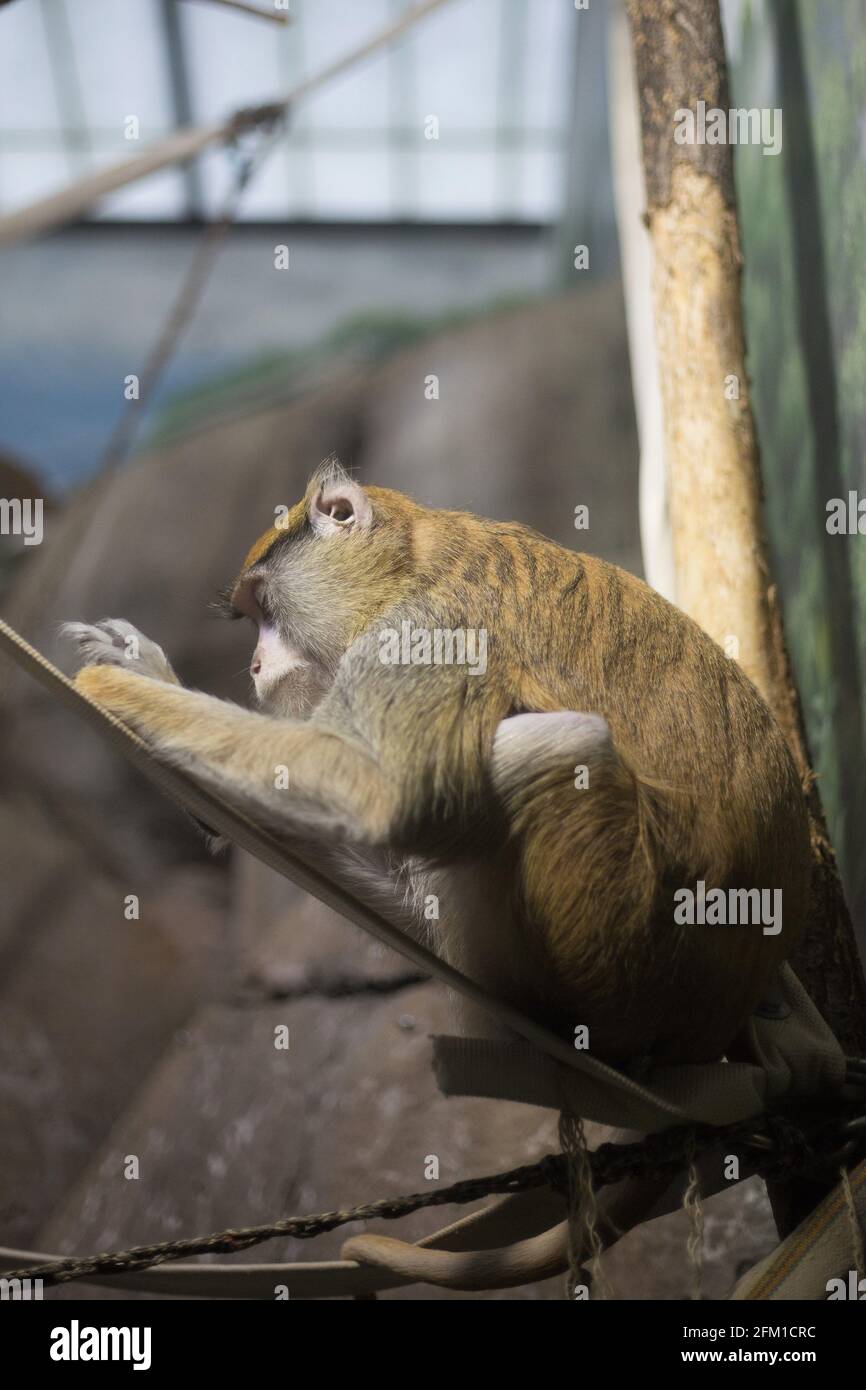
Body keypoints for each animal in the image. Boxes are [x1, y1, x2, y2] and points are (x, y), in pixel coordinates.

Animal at [64, 457, 810, 1066]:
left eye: (264, 605)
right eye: (250, 619)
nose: (254, 665)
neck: (418, 559)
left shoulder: (427, 632)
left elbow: (385, 794)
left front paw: (117, 688)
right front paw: (141, 671)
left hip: (616, 954)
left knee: (558, 748)